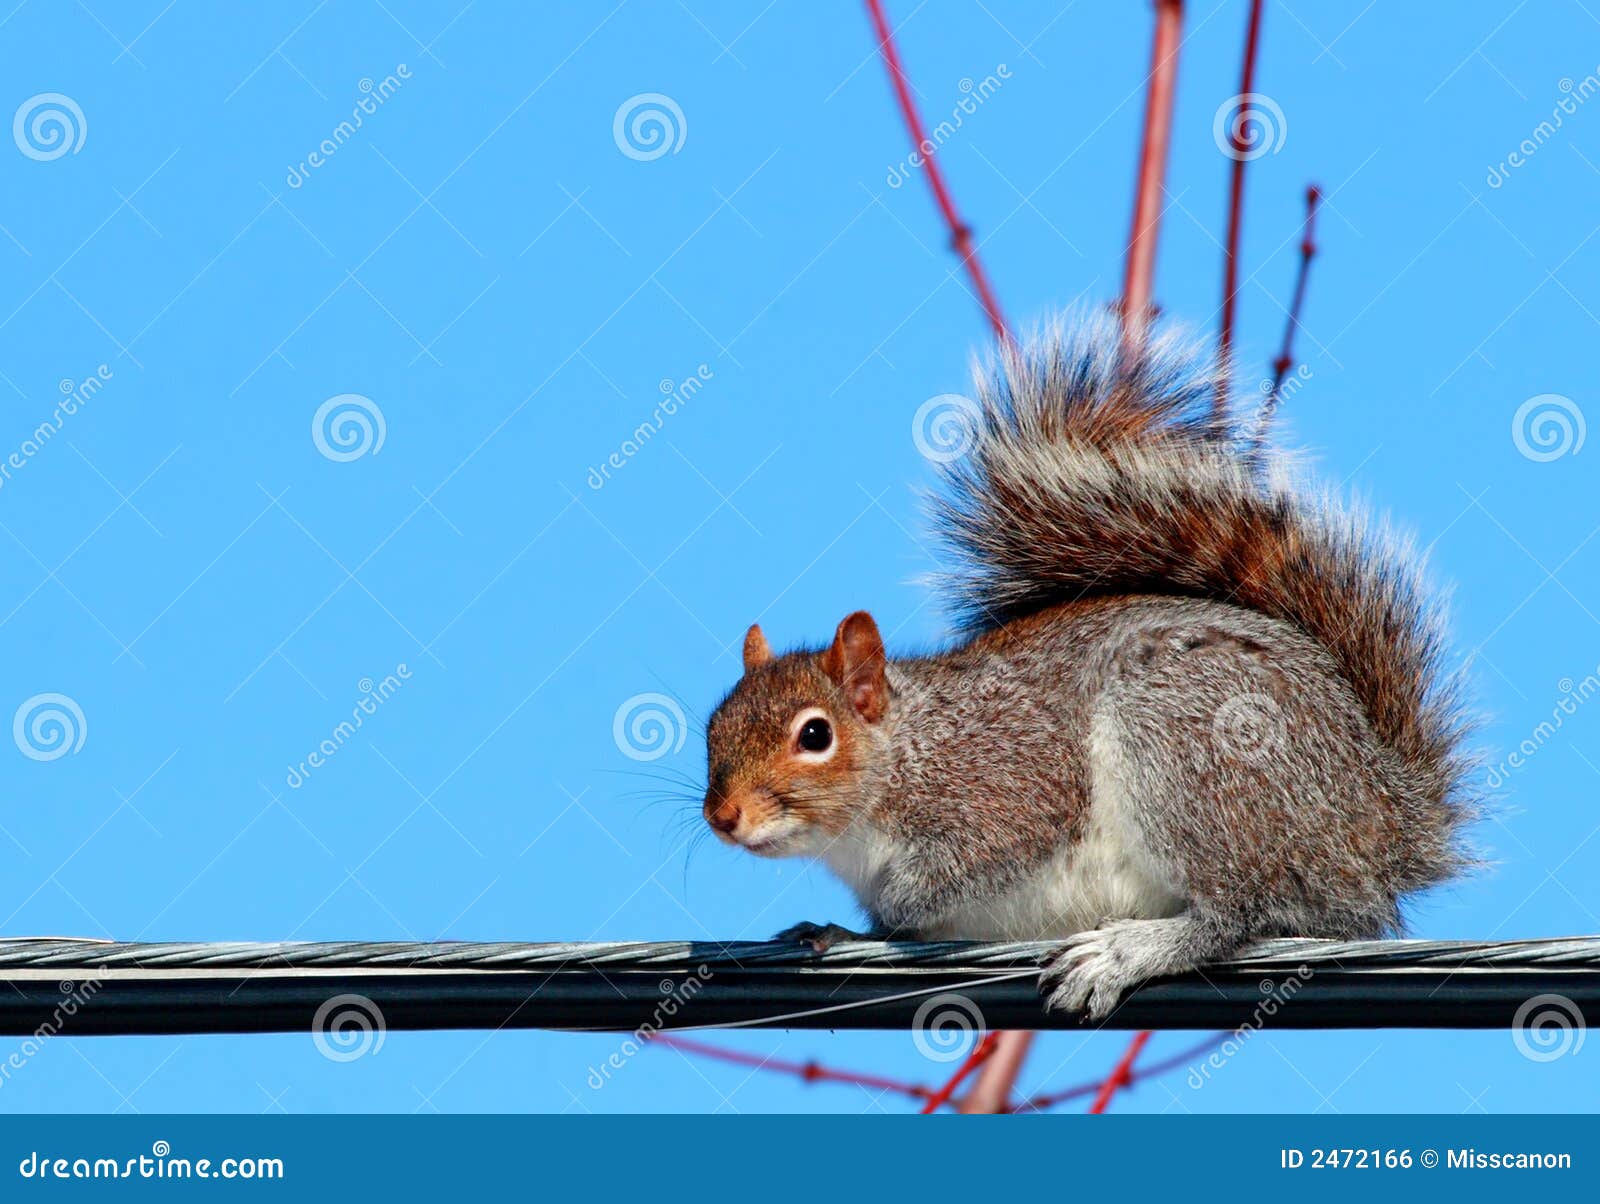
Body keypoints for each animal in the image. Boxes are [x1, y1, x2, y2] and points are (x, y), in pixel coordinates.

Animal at [700, 319, 1476, 1019]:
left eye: (815, 736)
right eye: (712, 729)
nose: (723, 816)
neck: (908, 753)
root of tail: (1383, 823)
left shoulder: (1007, 785)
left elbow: (982, 854)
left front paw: (898, 897)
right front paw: (830, 931)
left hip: (1189, 743)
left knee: (1238, 909)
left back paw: (1129, 951)